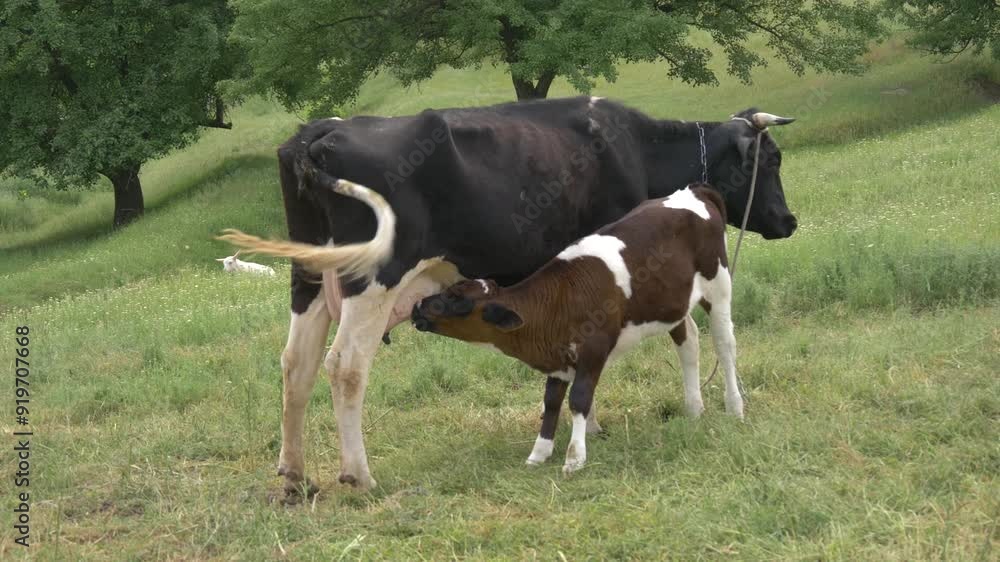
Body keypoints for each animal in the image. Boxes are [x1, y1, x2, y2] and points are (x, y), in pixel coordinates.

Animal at [412, 184, 739, 474]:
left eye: (457, 298)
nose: (417, 307)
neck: (558, 301)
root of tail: (693, 190)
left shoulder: (594, 349)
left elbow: (579, 399)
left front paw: (574, 457)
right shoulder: (558, 358)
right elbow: (551, 402)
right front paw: (539, 452)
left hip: (718, 286)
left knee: (725, 345)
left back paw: (735, 406)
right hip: (673, 303)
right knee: (689, 344)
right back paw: (694, 409)